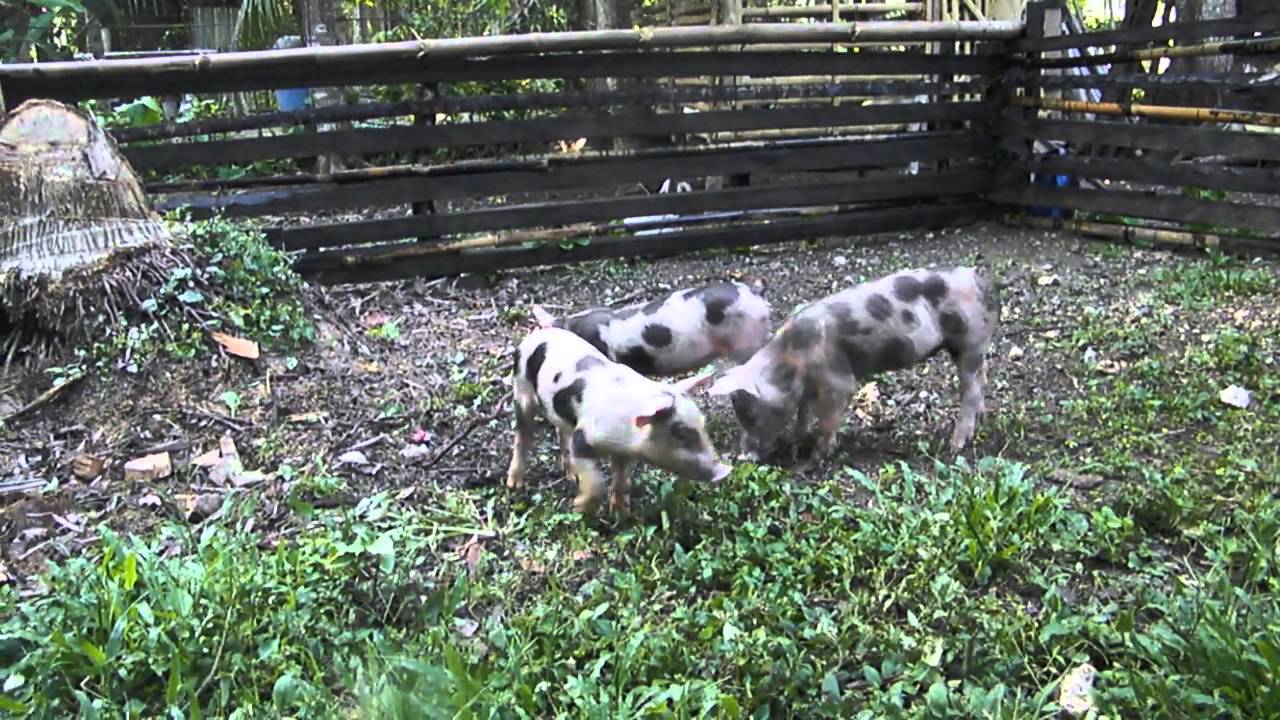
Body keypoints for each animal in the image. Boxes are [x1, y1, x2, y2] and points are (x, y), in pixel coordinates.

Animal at [507, 326, 732, 513]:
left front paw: (620, 511)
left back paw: (572, 476)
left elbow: (620, 478)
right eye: (680, 433)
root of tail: (535, 335)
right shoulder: (583, 438)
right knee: (522, 435)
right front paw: (578, 509)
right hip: (522, 391)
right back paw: (514, 484)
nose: (724, 471)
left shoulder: (623, 452)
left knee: (560, 432)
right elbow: (597, 483)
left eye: (703, 426)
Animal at [708, 266, 999, 462]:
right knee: (982, 379)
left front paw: (816, 456)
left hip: (970, 339)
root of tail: (981, 281)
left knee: (971, 389)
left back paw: (955, 445)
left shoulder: (837, 380)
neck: (792, 359)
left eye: (751, 414)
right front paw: (796, 439)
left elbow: (828, 418)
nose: (744, 456)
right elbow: (804, 413)